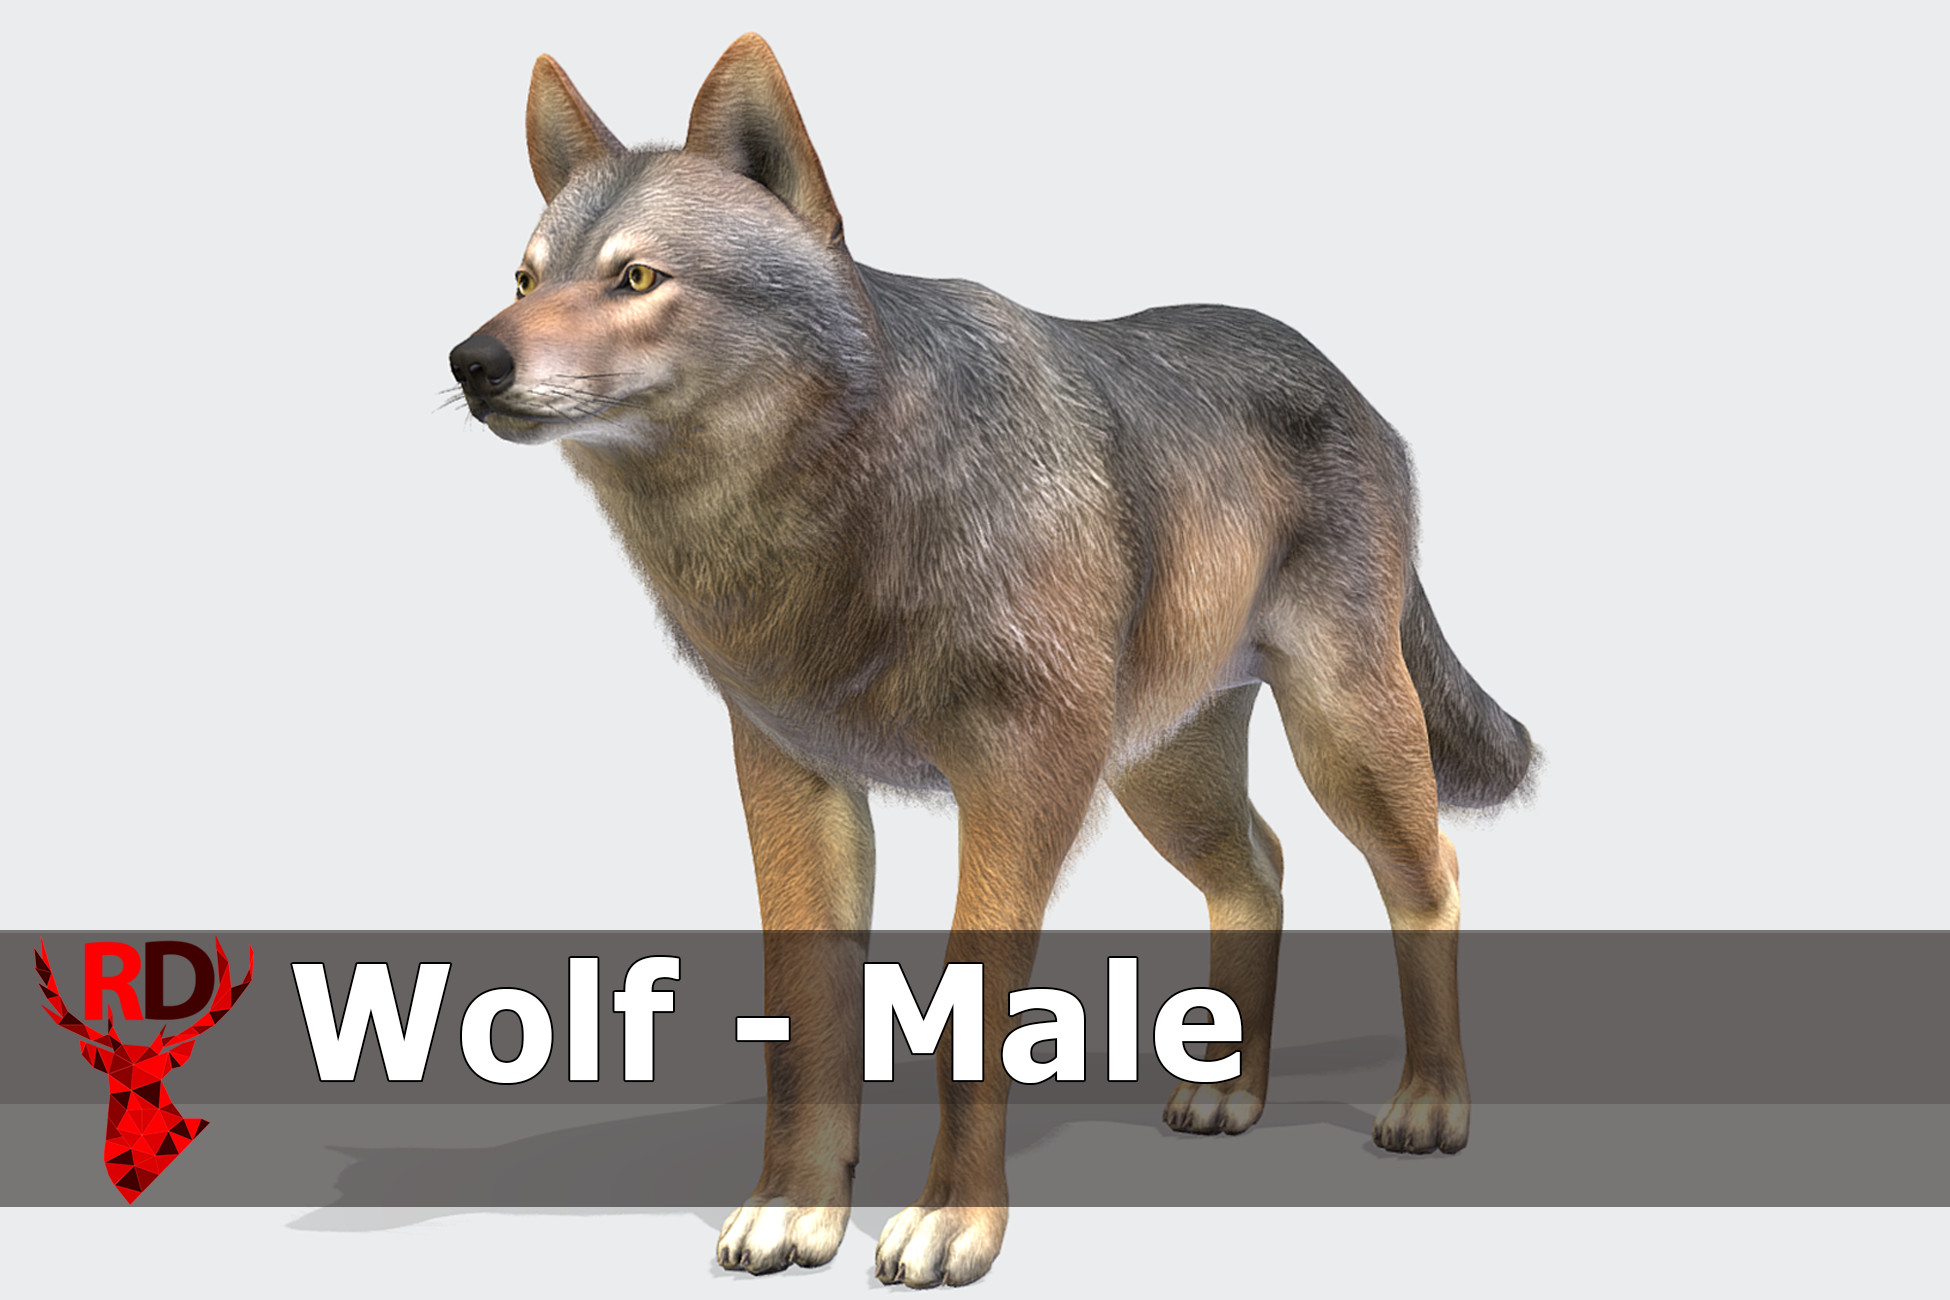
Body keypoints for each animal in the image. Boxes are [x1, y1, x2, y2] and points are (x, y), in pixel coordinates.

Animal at [449, 33, 1533, 1287]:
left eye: (636, 279)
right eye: (525, 279)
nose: (471, 361)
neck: (832, 521)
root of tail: (1355, 389)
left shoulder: (1021, 778)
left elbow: (968, 1020)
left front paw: (952, 1223)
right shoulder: (795, 779)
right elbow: (803, 1021)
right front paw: (795, 1208)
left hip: (1339, 738)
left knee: (1431, 872)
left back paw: (1431, 1103)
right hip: (1162, 774)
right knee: (1257, 870)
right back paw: (1228, 1095)